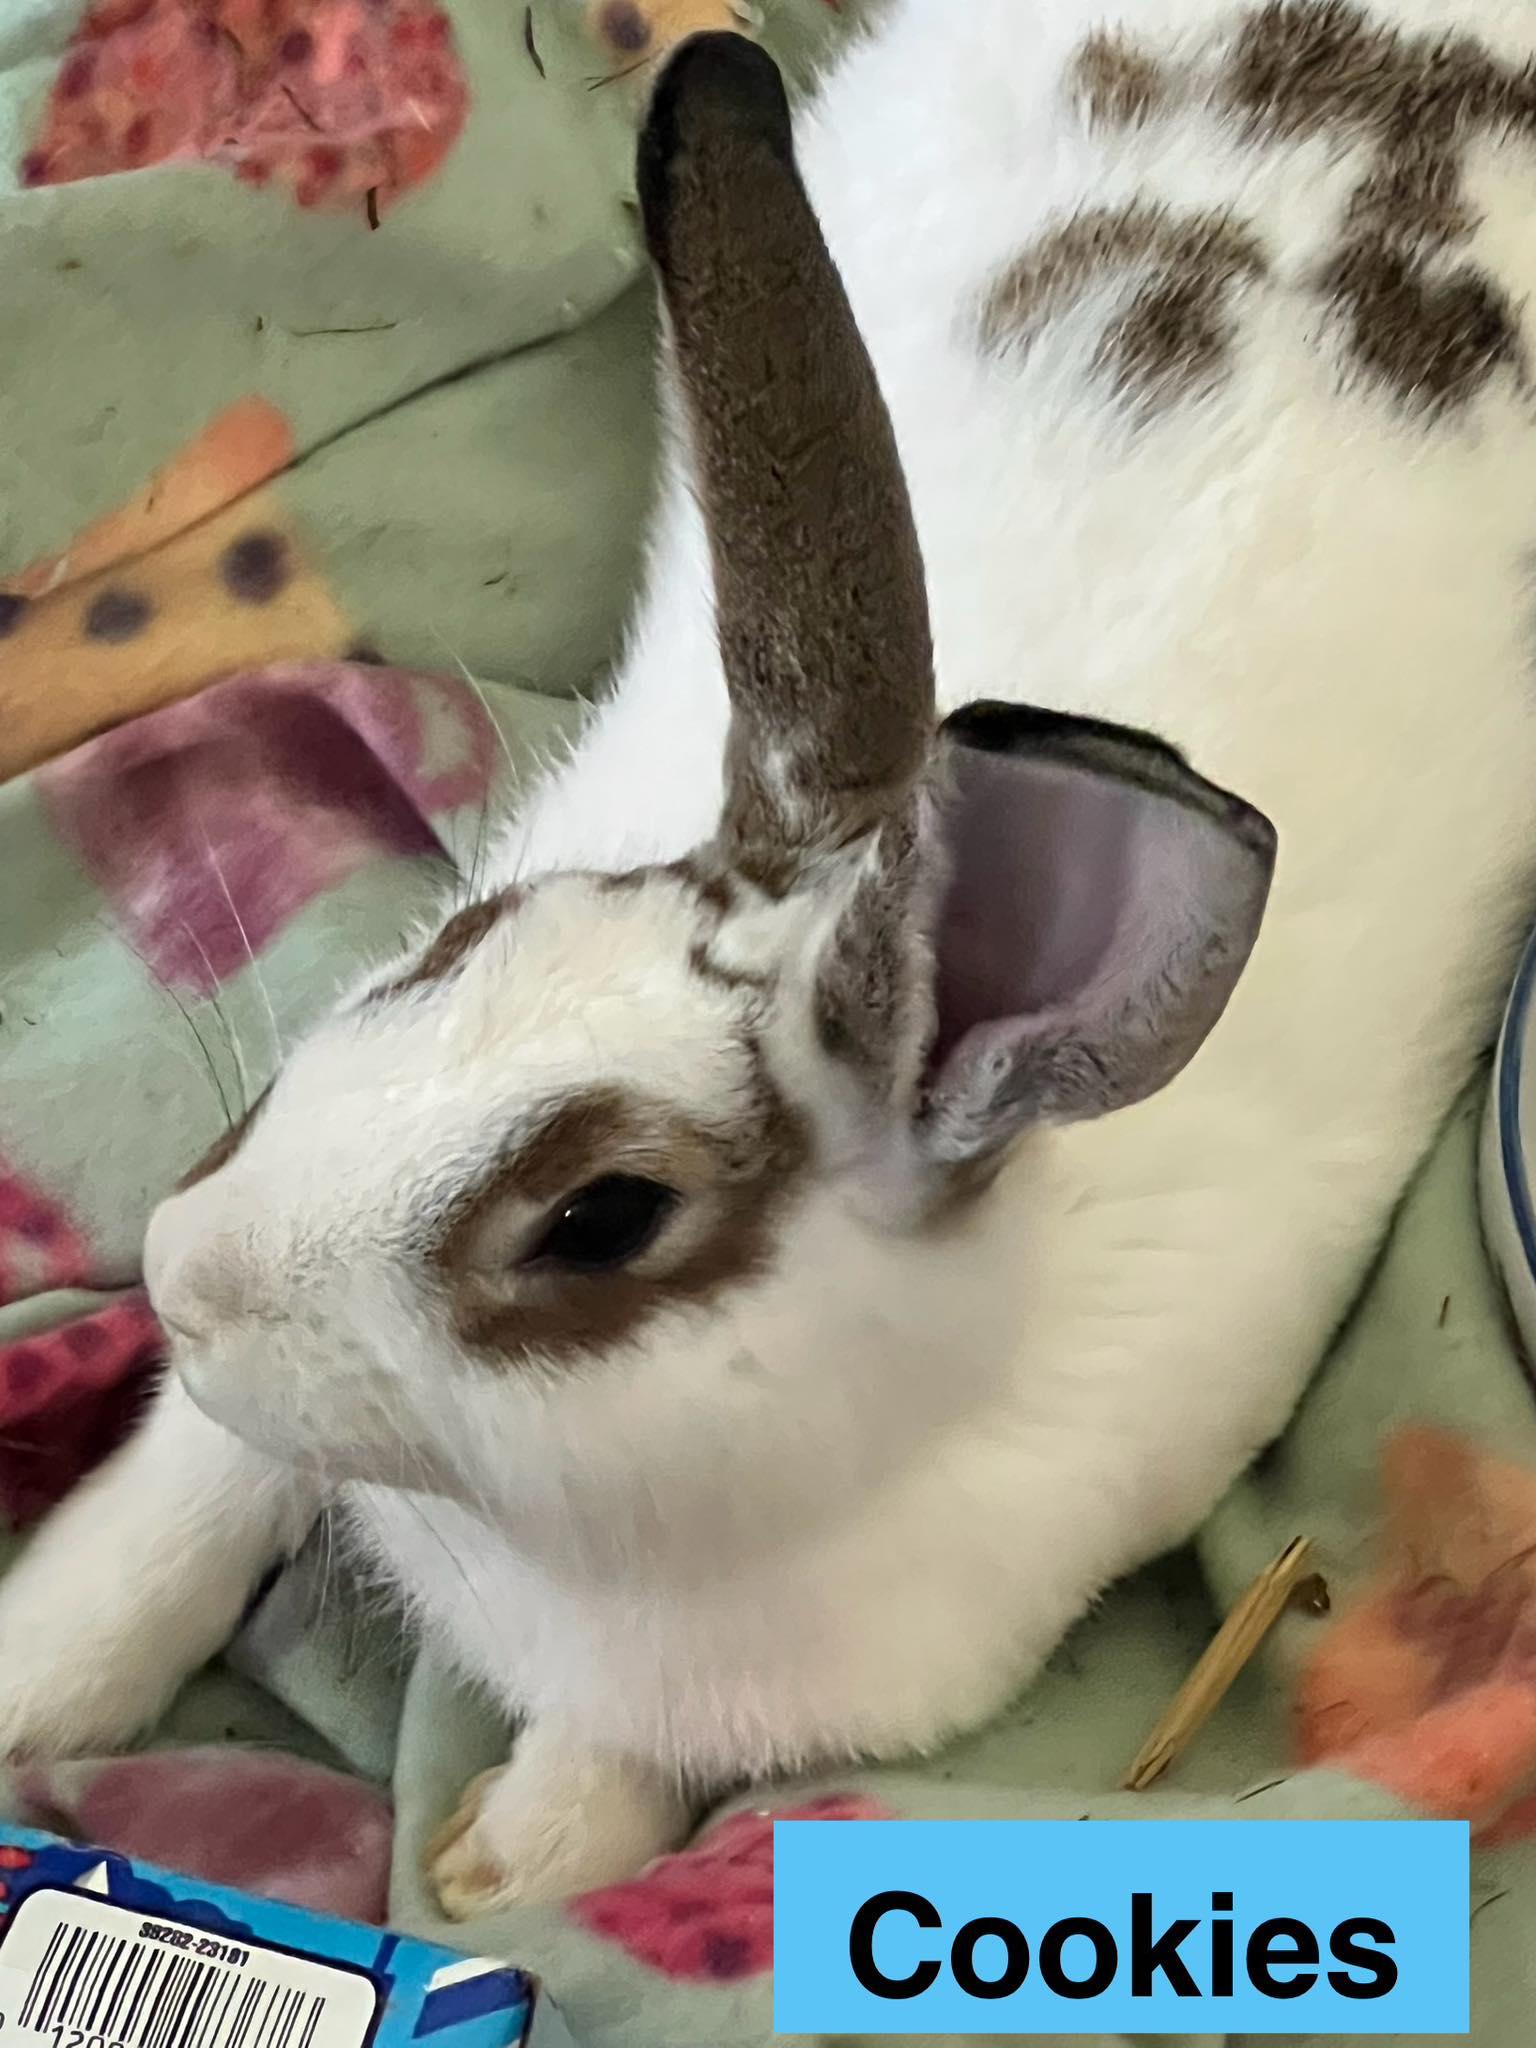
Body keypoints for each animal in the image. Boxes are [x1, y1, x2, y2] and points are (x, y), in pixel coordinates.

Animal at [7, 0, 1536, 1918]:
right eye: (474, 934)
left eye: (601, 1217)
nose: (178, 1270)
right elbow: (188, 1488)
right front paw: (34, 1673)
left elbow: (618, 1762)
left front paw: (507, 1860)